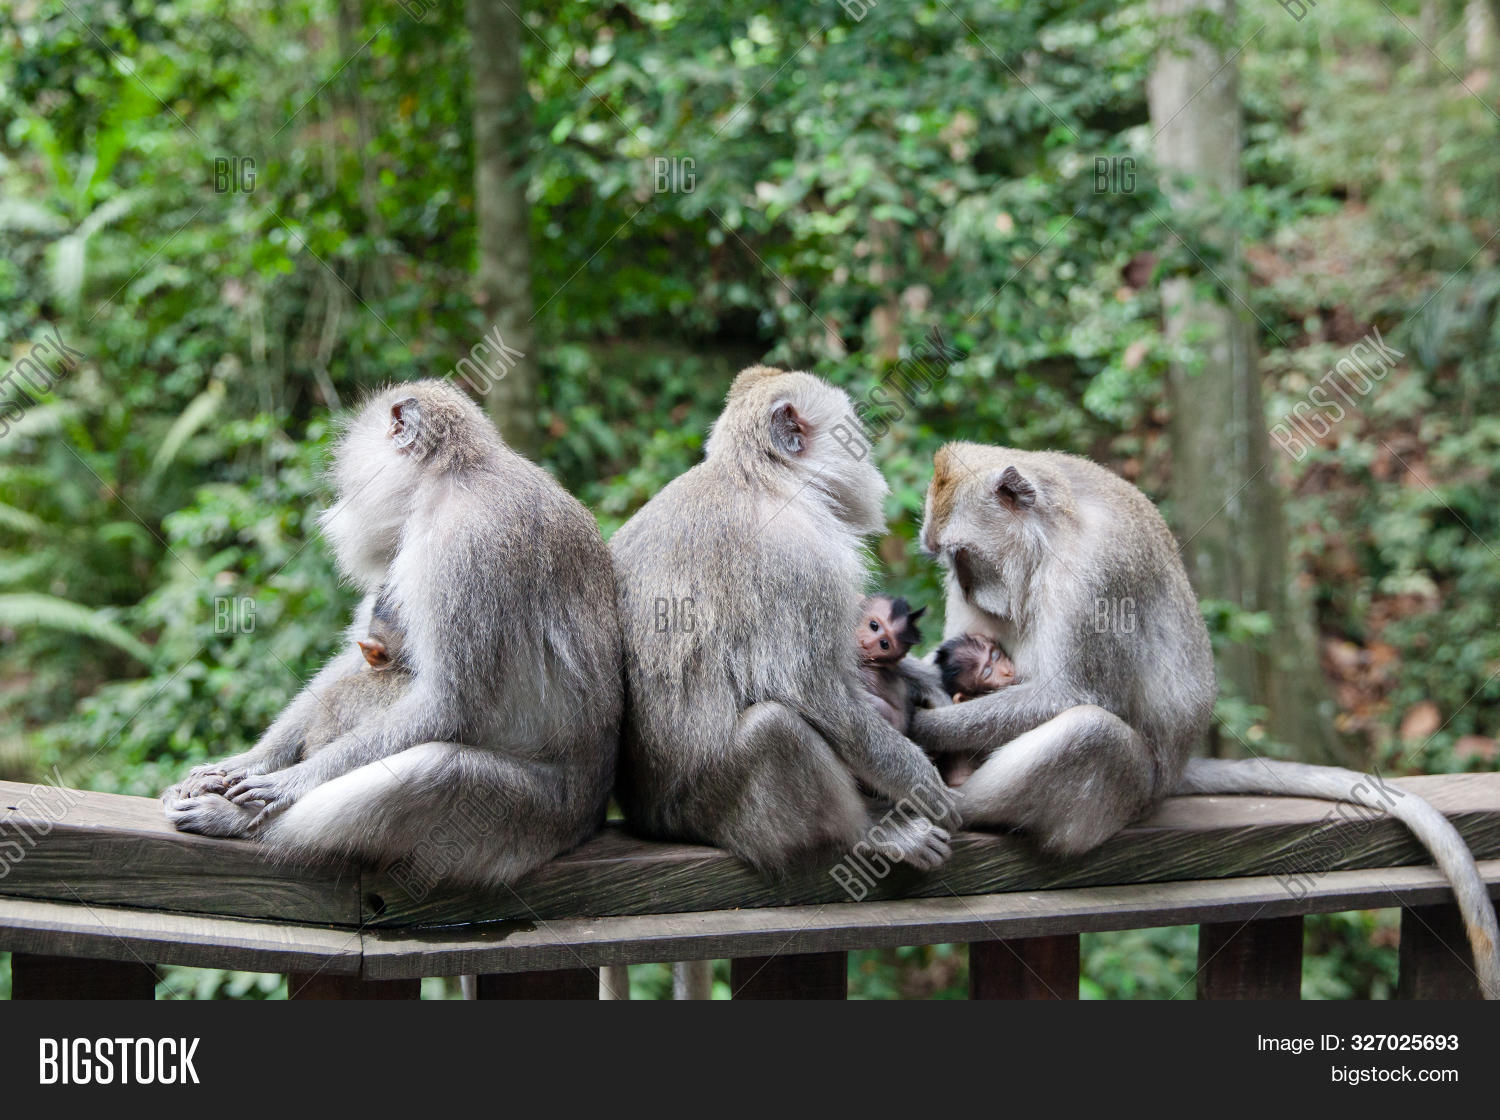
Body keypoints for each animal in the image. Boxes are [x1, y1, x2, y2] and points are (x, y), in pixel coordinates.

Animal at [161, 379, 623, 890]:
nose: (338, 507)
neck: (451, 479)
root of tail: (589, 816)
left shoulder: (463, 550)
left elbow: (447, 703)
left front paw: (289, 781)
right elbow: (356, 655)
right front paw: (251, 759)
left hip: (530, 817)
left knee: (440, 771)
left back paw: (239, 822)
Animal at [610, 366, 958, 874]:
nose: (867, 455)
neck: (760, 478)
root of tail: (648, 819)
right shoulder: (801, 560)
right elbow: (811, 688)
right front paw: (918, 782)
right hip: (708, 809)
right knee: (774, 729)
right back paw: (870, 836)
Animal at [911, 441, 1500, 998]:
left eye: (962, 555)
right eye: (946, 560)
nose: (962, 585)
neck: (1050, 535)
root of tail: (1174, 774)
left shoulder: (1100, 574)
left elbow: (1074, 694)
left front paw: (924, 729)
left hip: (1129, 794)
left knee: (1092, 733)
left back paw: (954, 806)